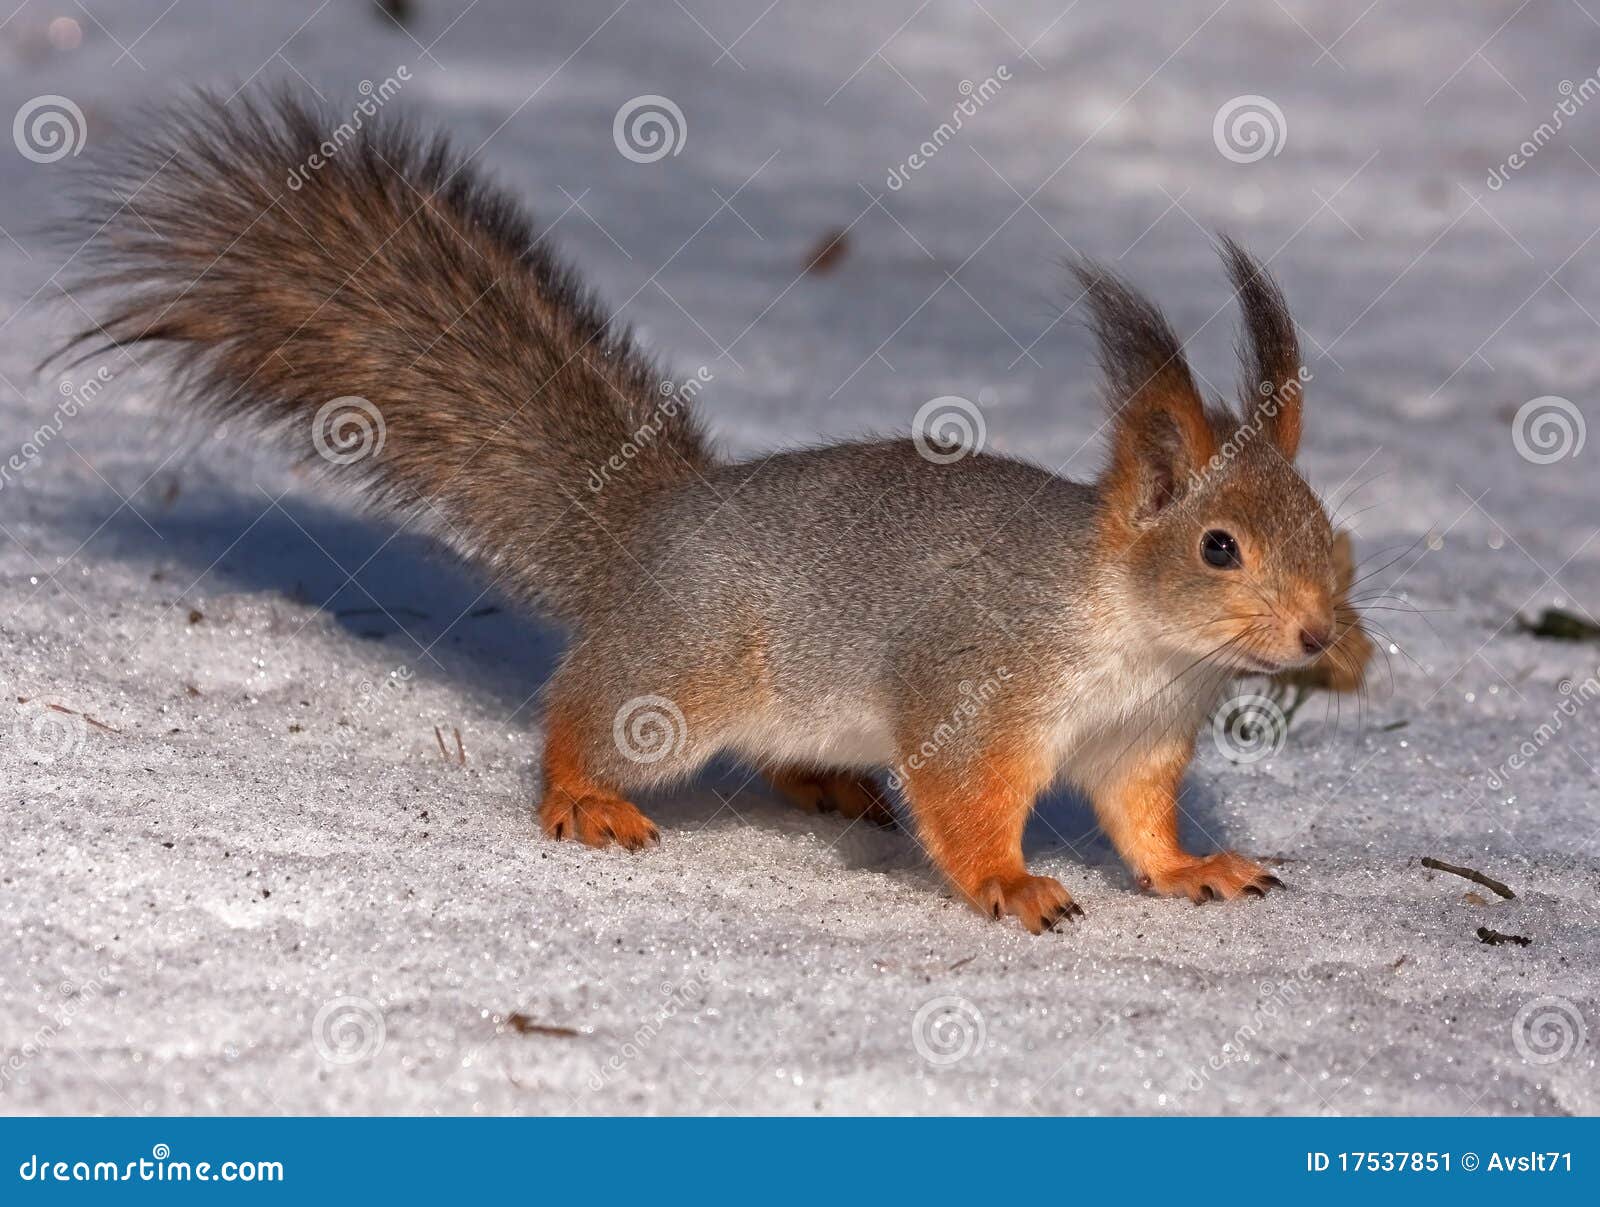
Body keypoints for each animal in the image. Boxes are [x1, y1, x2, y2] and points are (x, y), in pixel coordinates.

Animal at [60, 92, 1372, 933]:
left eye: (1333, 535)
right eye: (1218, 547)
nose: (1319, 637)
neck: (1137, 640)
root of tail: (646, 528)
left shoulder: (1139, 743)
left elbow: (1141, 824)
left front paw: (1194, 869)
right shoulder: (977, 686)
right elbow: (966, 801)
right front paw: (1008, 884)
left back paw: (828, 786)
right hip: (680, 679)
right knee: (580, 717)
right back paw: (582, 799)